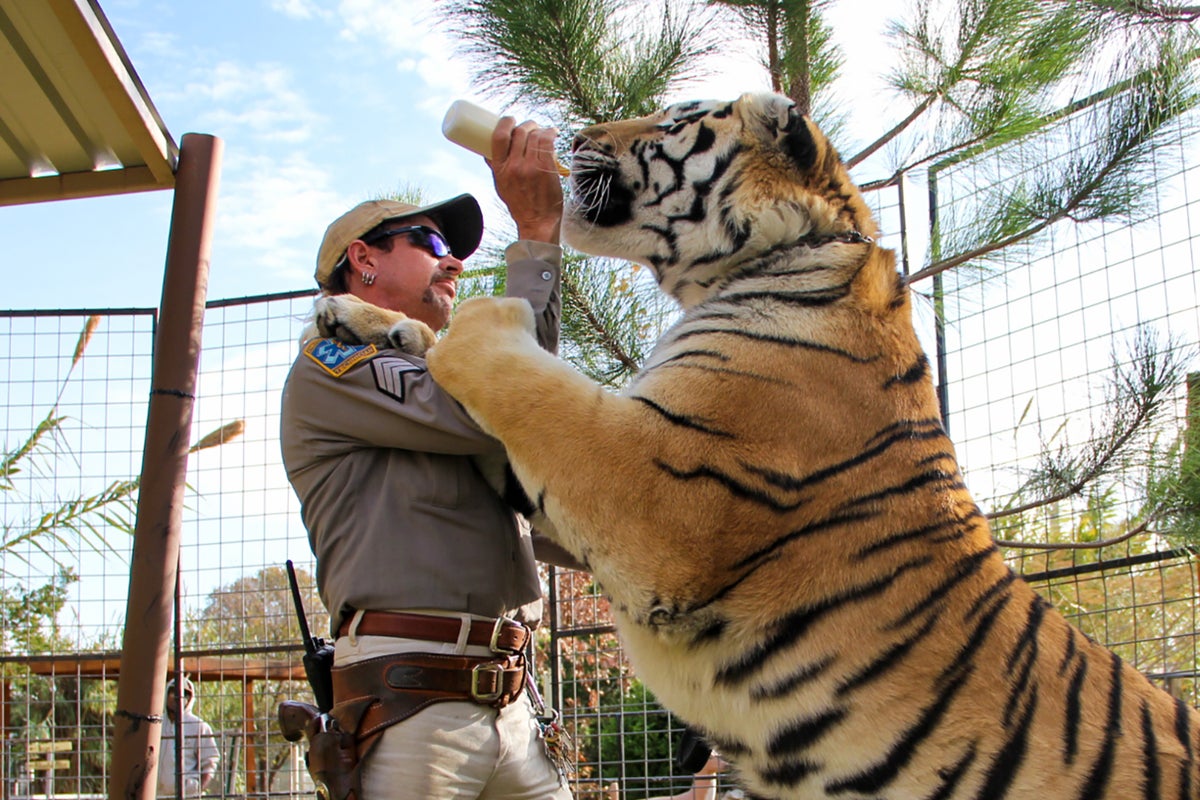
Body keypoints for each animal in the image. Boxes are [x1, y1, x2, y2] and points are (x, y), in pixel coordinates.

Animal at [322, 92, 1200, 799]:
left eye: (671, 121)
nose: (574, 135)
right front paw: (355, 316)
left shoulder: (655, 490)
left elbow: (521, 374)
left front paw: (471, 315)